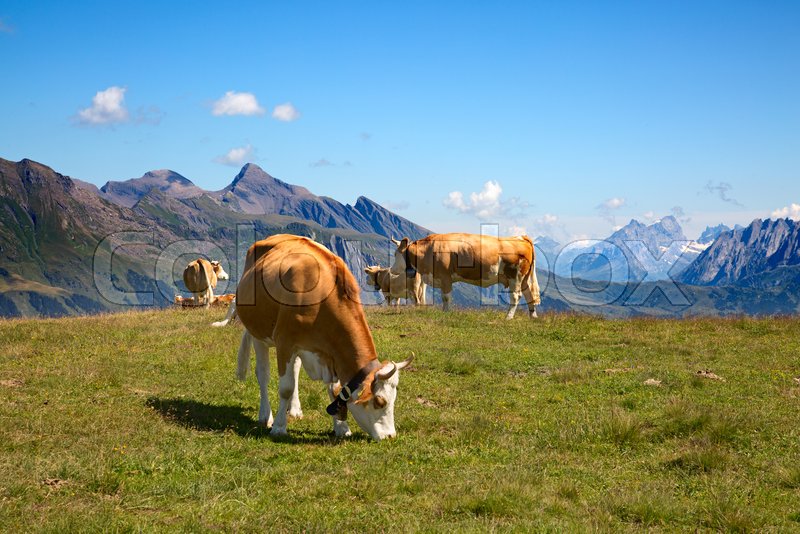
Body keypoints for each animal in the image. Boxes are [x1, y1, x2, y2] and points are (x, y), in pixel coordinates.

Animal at [231, 234, 414, 440]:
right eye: (380, 401)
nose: (390, 436)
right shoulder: (285, 343)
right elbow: (285, 388)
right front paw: (278, 427)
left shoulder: (329, 352)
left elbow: (333, 390)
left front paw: (342, 428)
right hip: (258, 334)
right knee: (263, 374)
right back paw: (265, 415)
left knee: (295, 370)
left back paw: (294, 410)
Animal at [390, 233, 540, 319]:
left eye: (395, 254)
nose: (391, 270)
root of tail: (521, 238)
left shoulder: (445, 277)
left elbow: (446, 297)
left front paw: (446, 313)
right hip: (524, 278)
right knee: (529, 295)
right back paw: (533, 316)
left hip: (515, 276)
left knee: (516, 296)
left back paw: (508, 317)